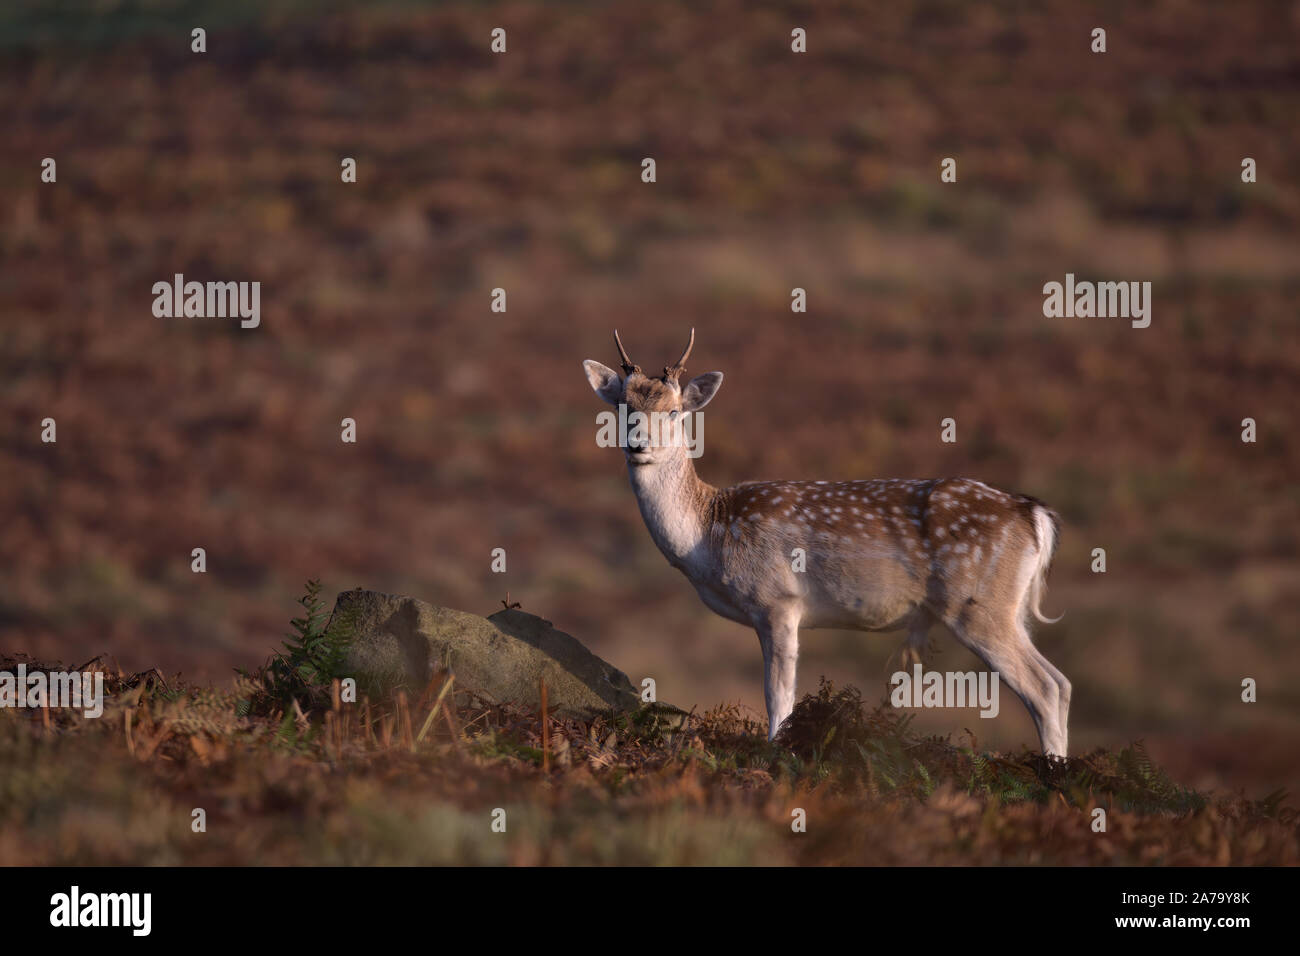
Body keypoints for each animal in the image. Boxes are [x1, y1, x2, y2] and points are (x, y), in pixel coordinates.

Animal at [583, 329, 1072, 756]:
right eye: (624, 407)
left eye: (674, 411)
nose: (637, 444)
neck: (710, 535)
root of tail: (1035, 515)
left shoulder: (778, 600)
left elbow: (778, 695)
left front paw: (776, 750)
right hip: (1007, 609)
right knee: (1061, 682)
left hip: (978, 604)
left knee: (1044, 687)